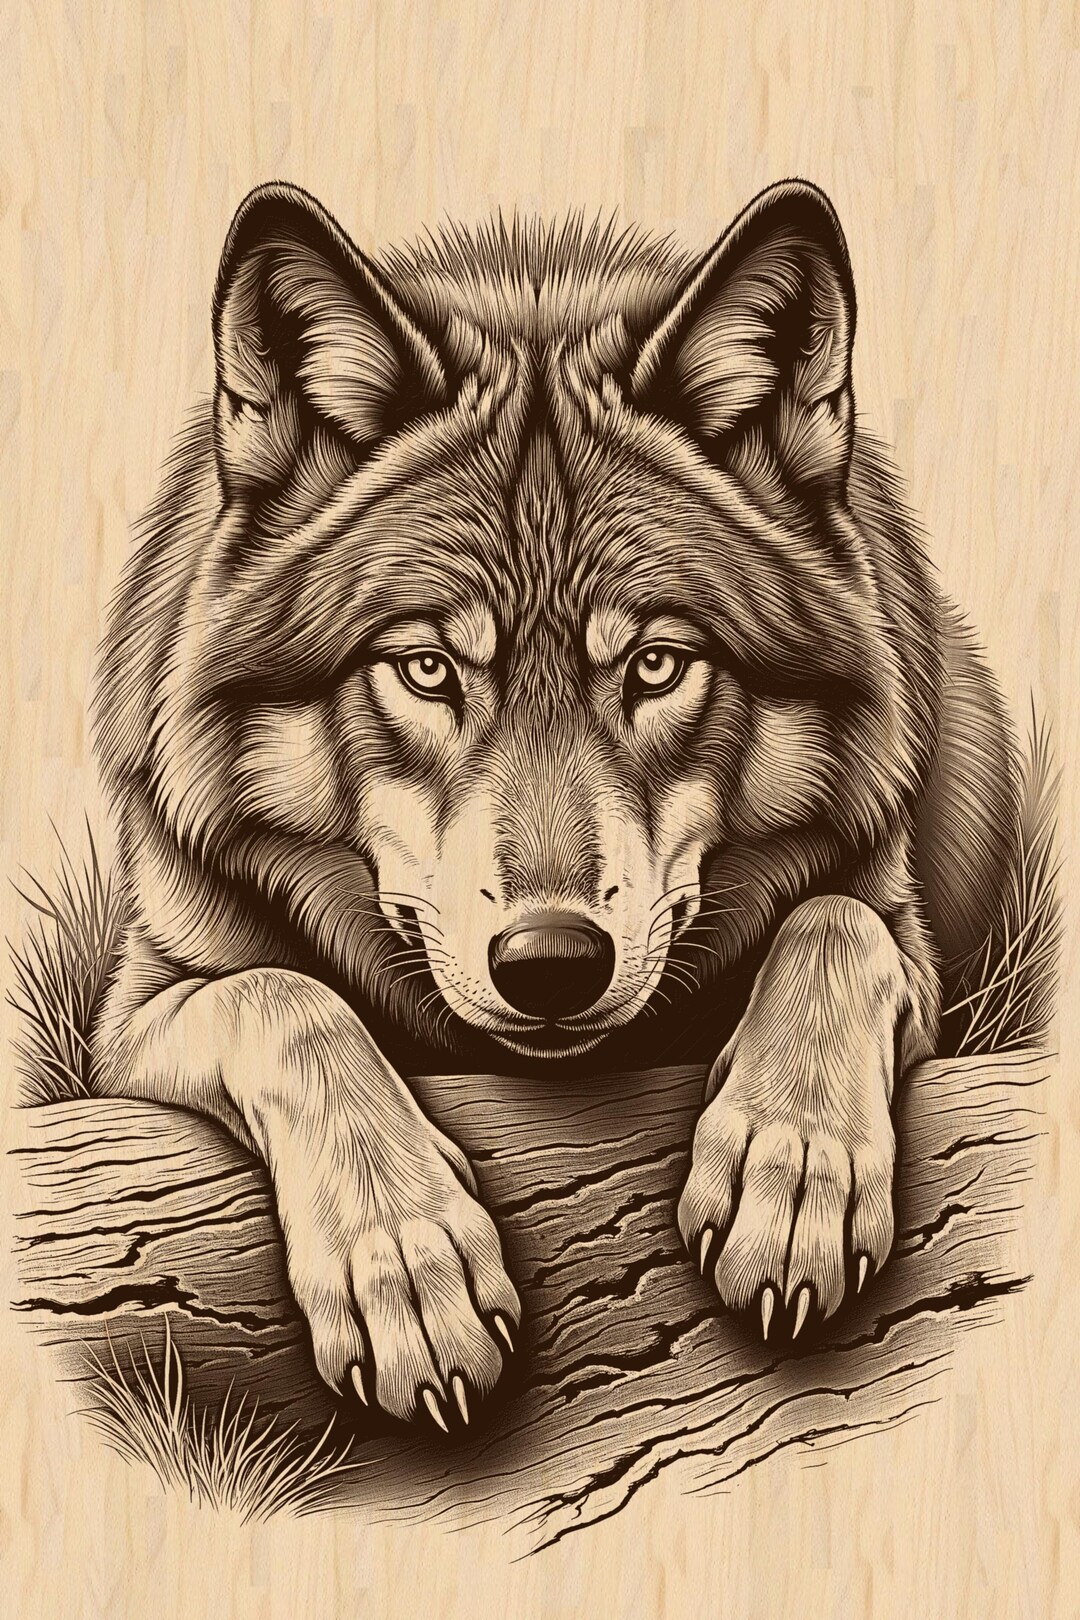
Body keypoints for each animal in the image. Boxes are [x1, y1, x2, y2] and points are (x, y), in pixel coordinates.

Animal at [92, 178, 1017, 1432]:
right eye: (427, 668)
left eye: (658, 665)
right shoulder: (137, 1014)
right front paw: (407, 1258)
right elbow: (287, 999)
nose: (551, 965)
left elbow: (834, 926)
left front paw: (792, 1165)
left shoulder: (896, 926)